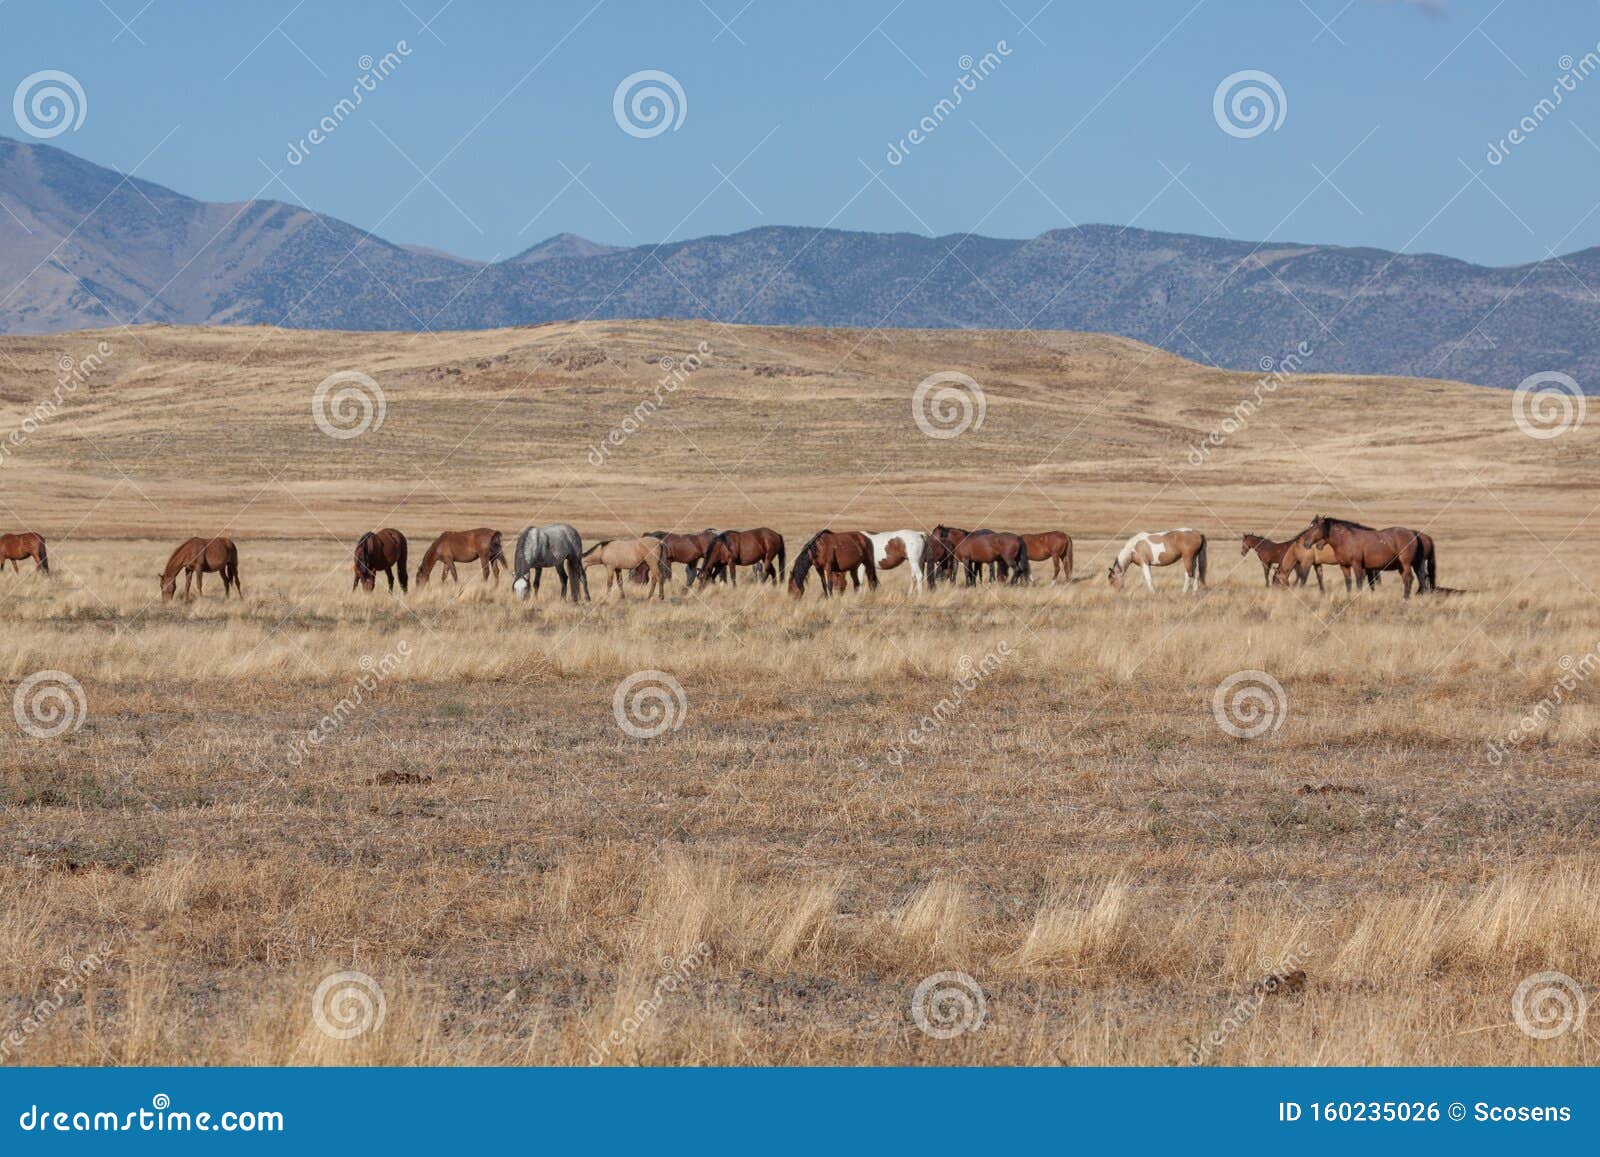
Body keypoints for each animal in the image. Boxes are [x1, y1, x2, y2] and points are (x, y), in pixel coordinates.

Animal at [1299, 515, 1431, 599]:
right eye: (1310, 526)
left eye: (1316, 527)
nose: (1306, 543)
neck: (1346, 540)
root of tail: (1414, 534)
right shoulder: (1344, 566)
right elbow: (1348, 583)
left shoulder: (1357, 565)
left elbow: (1359, 582)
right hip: (1403, 566)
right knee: (1413, 579)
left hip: (1406, 564)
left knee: (1409, 579)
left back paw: (1405, 599)